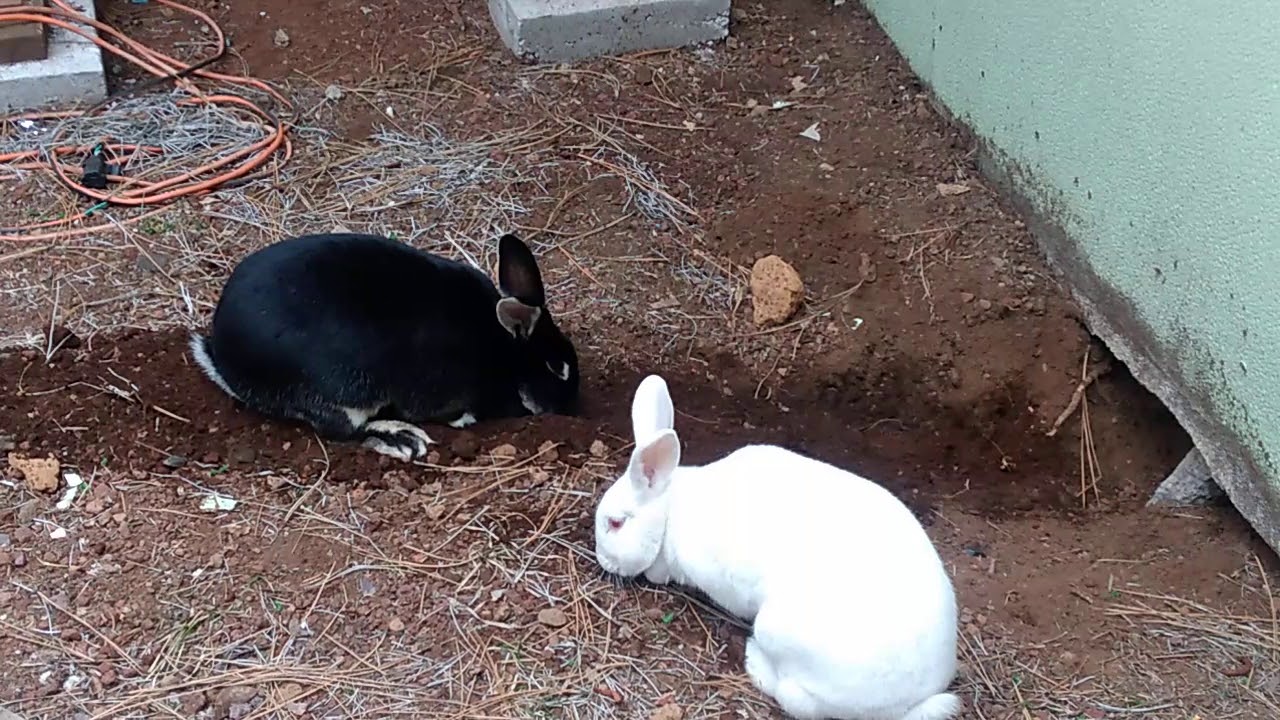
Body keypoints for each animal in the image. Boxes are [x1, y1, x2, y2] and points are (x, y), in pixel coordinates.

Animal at [189, 231, 580, 462]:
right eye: (556, 367)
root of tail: (225, 362)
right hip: (343, 394)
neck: (500, 348)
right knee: (345, 432)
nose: (572, 409)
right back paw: (403, 439)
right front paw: (463, 419)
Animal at [592, 375, 961, 720]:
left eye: (615, 523)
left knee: (794, 698)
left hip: (776, 631)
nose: (603, 563)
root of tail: (912, 699)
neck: (670, 509)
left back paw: (753, 660)